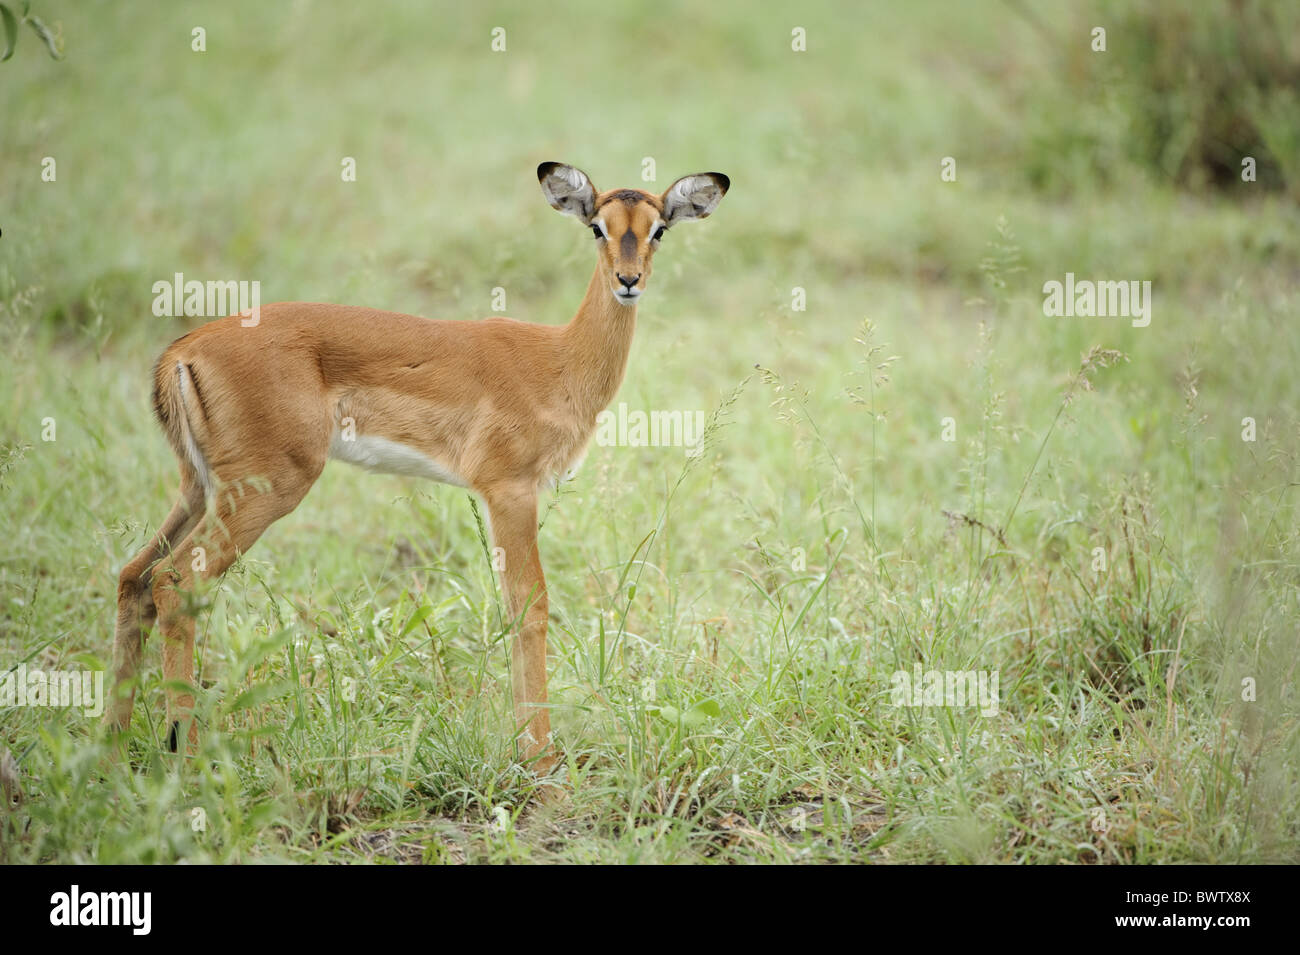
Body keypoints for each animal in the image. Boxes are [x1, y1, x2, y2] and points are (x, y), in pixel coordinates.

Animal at [104, 162, 730, 775]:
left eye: (658, 229)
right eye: (598, 226)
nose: (629, 280)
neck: (558, 361)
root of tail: (183, 350)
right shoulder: (509, 490)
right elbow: (530, 606)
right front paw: (541, 760)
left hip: (199, 489)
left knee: (134, 577)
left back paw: (112, 750)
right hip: (263, 490)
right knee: (176, 581)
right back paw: (184, 755)